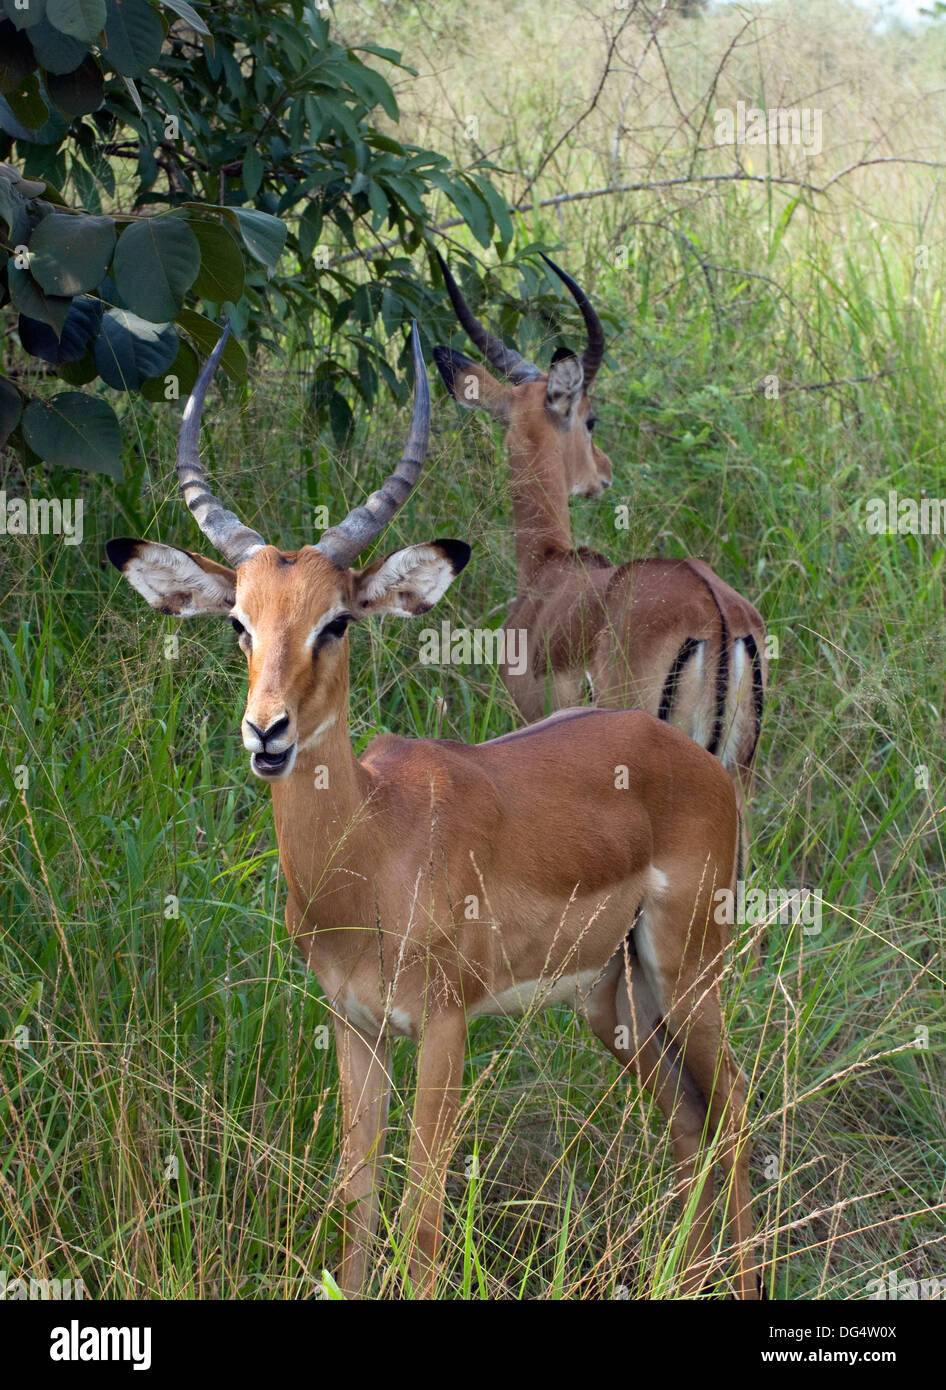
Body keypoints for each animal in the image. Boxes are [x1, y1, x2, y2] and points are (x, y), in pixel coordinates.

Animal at [106, 322, 760, 1300]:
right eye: (239, 621)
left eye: (338, 620)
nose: (267, 732)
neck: (373, 849)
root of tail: (696, 760)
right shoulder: (356, 1025)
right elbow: (356, 1196)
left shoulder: (444, 1028)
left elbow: (420, 1216)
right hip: (614, 996)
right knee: (688, 1120)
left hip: (688, 969)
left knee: (740, 1113)